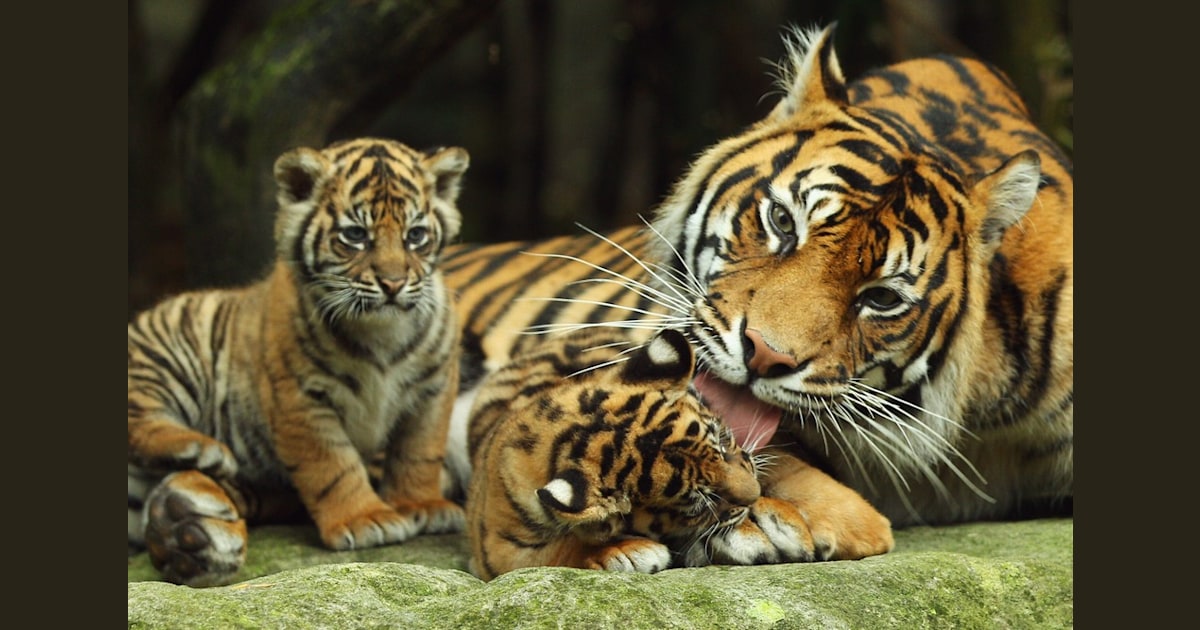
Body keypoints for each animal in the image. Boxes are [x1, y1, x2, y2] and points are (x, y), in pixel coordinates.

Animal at [128, 137, 470, 587]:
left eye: (415, 236)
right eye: (355, 235)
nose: (394, 284)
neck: (381, 331)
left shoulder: (434, 389)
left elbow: (420, 451)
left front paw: (423, 506)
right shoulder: (300, 399)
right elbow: (333, 465)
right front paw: (366, 519)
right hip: (169, 353)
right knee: (138, 418)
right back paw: (202, 450)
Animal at [463, 326, 893, 580]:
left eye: (723, 442)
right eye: (697, 502)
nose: (752, 497)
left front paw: (859, 527)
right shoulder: (501, 549)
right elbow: (558, 550)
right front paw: (627, 551)